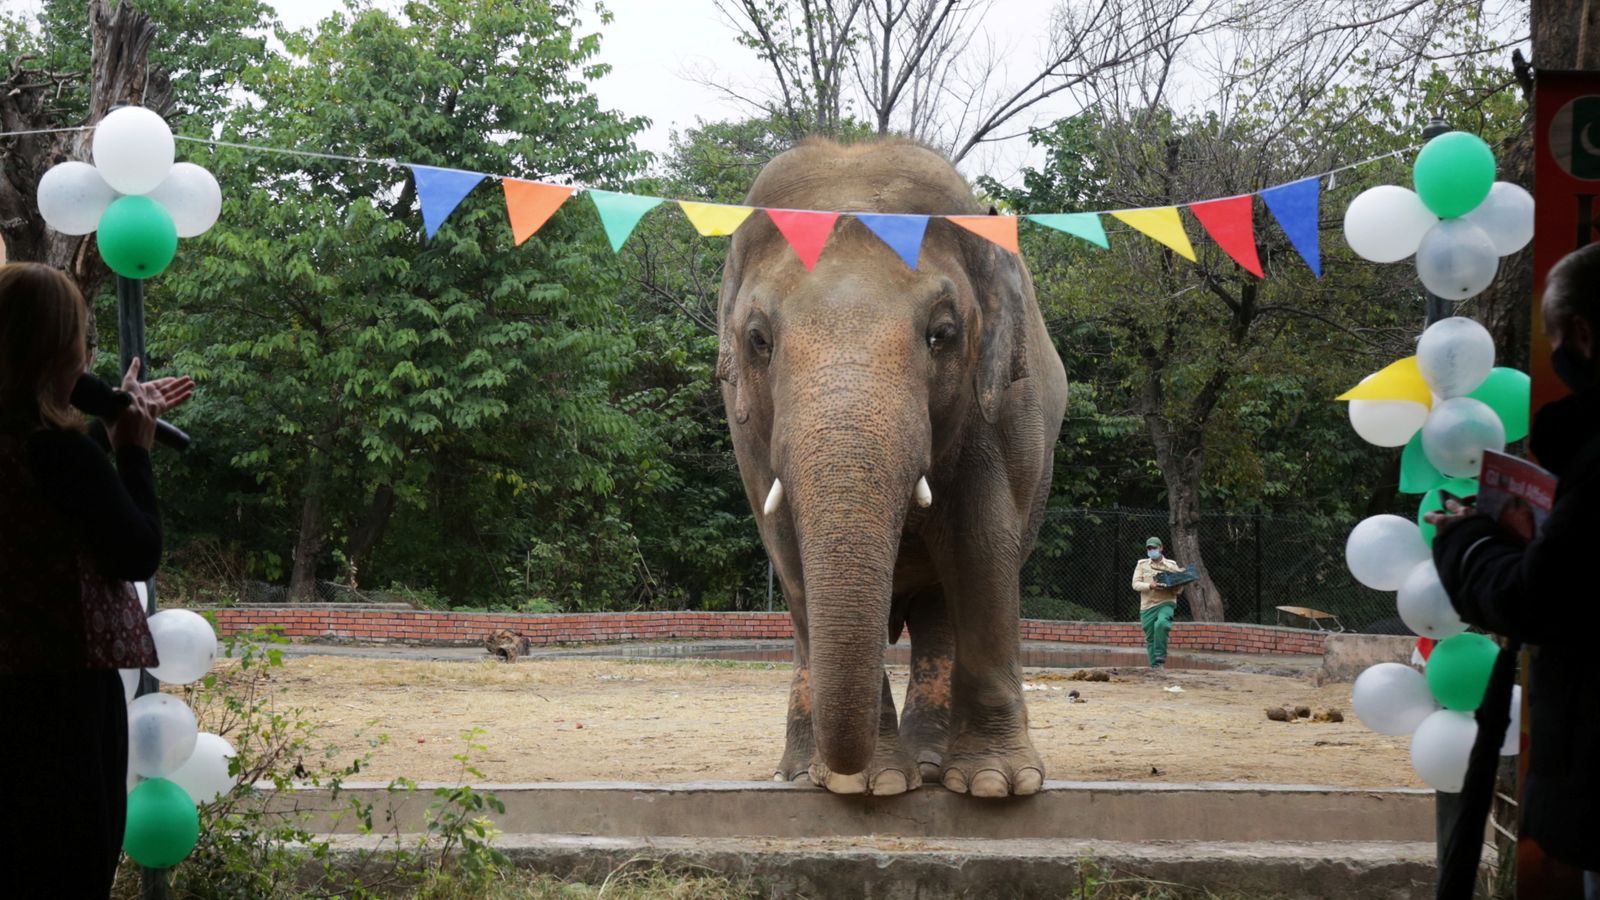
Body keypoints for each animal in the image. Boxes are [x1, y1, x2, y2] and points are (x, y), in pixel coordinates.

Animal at [716, 137, 1069, 798]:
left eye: (943, 333)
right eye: (757, 339)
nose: (847, 770)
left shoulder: (1002, 406)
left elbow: (982, 542)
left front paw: (995, 784)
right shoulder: (746, 429)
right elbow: (788, 554)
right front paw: (866, 786)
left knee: (940, 611)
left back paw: (932, 766)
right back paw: (800, 773)